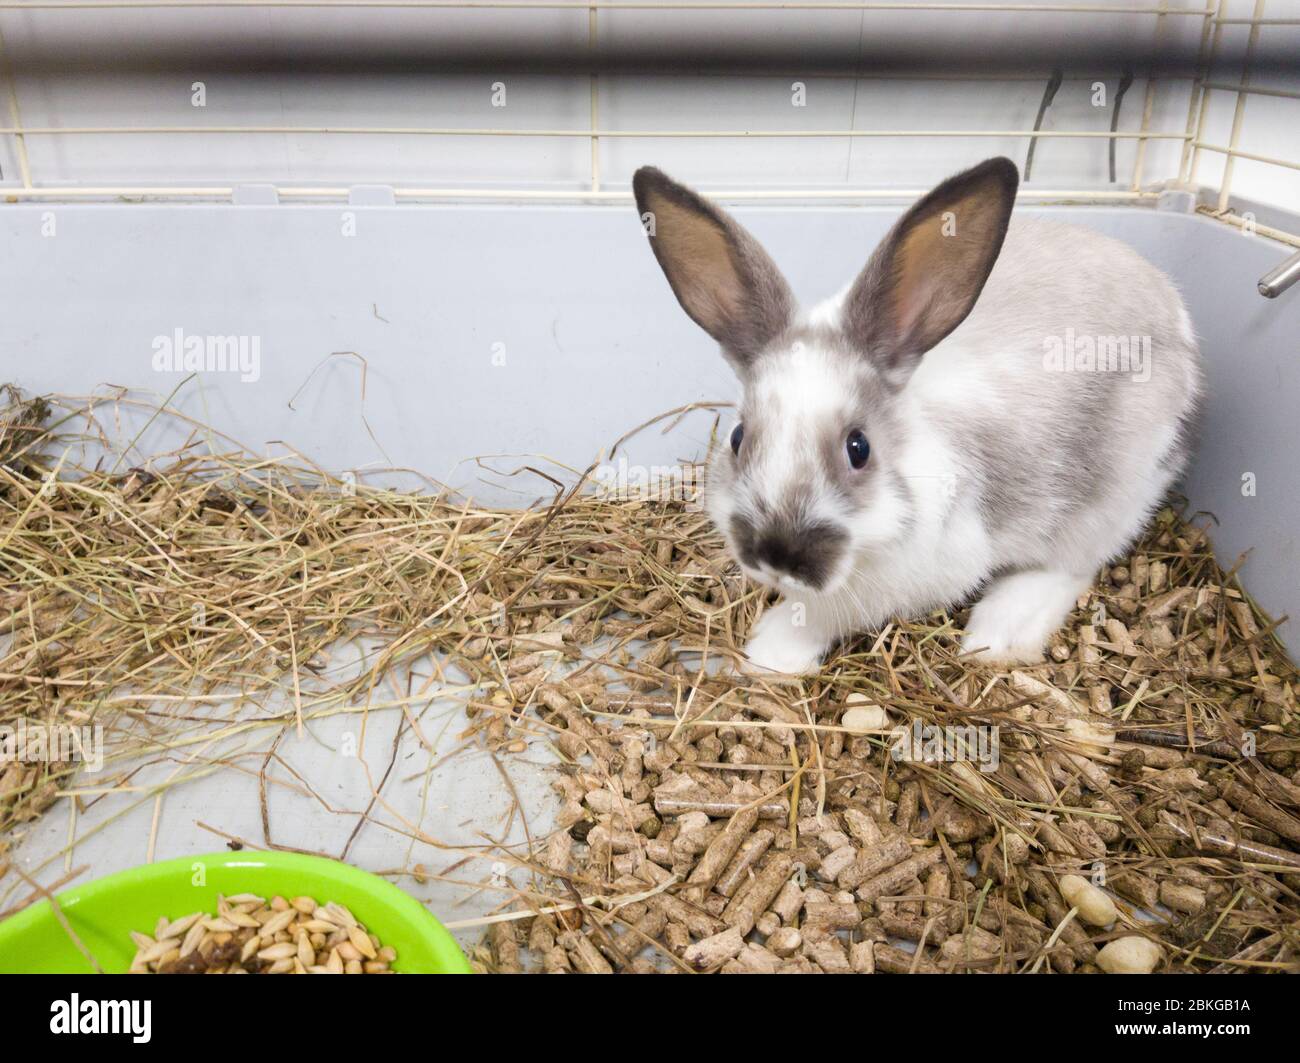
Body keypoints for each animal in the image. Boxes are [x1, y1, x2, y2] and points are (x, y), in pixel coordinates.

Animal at [632, 156, 1203, 675]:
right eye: (737, 436)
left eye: (859, 448)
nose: (777, 556)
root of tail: (1173, 306)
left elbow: (820, 614)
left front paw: (770, 654)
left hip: (1112, 495)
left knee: (1074, 565)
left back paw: (998, 634)